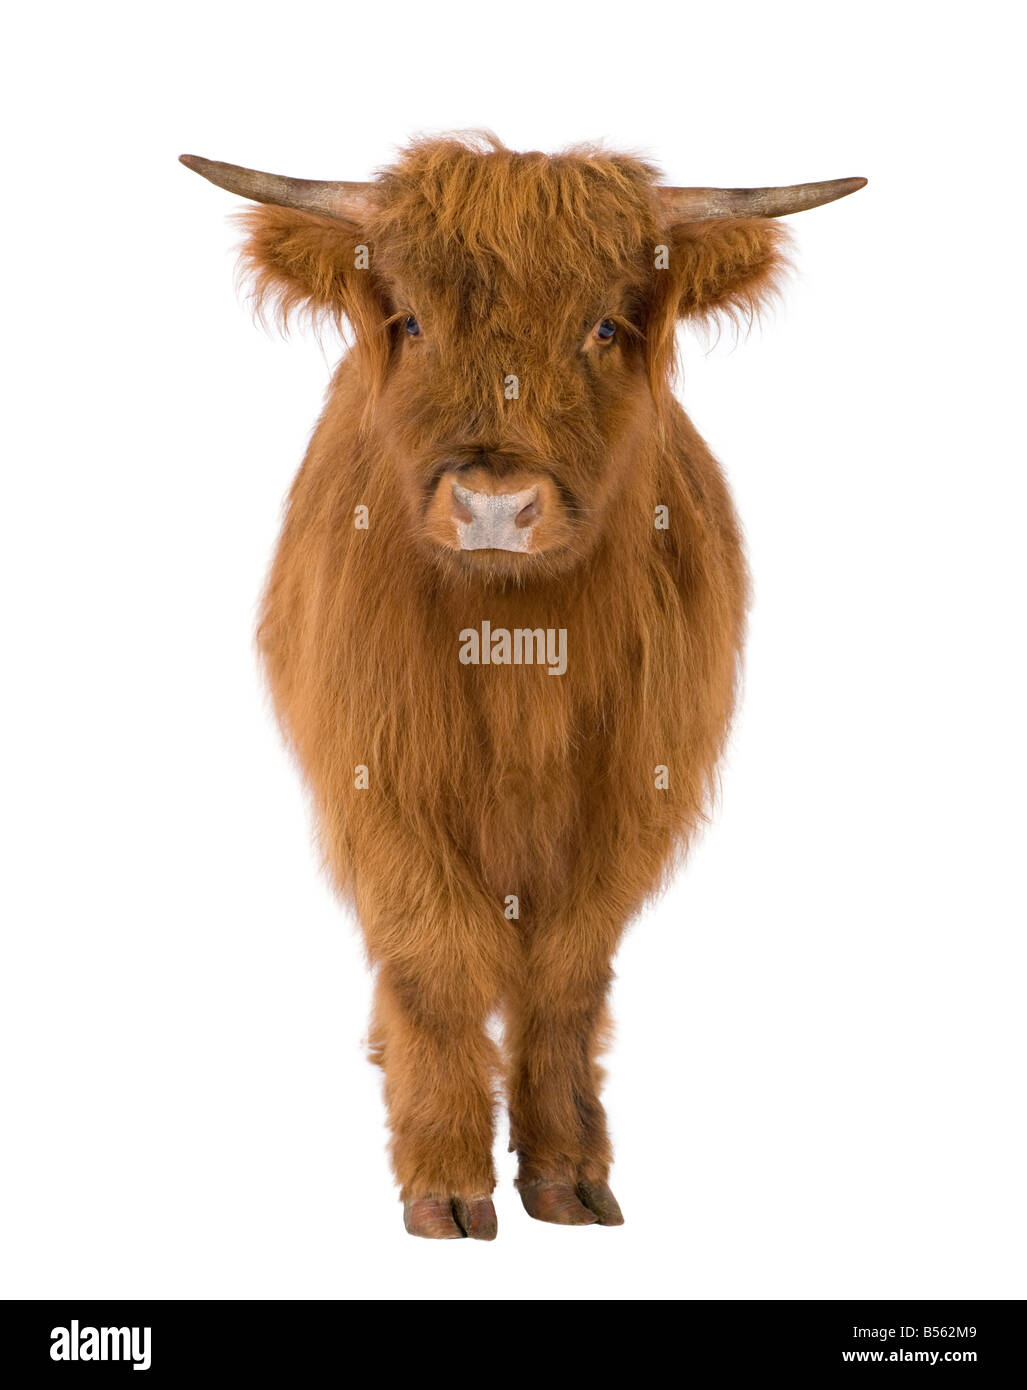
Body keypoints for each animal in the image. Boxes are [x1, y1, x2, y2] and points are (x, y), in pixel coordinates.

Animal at [181, 134, 865, 1239]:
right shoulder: (380, 779)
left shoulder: (634, 791)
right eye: (413, 321)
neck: (515, 649)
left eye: (603, 326)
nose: (493, 503)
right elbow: (435, 958)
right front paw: (445, 1177)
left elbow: (568, 973)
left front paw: (569, 1172)